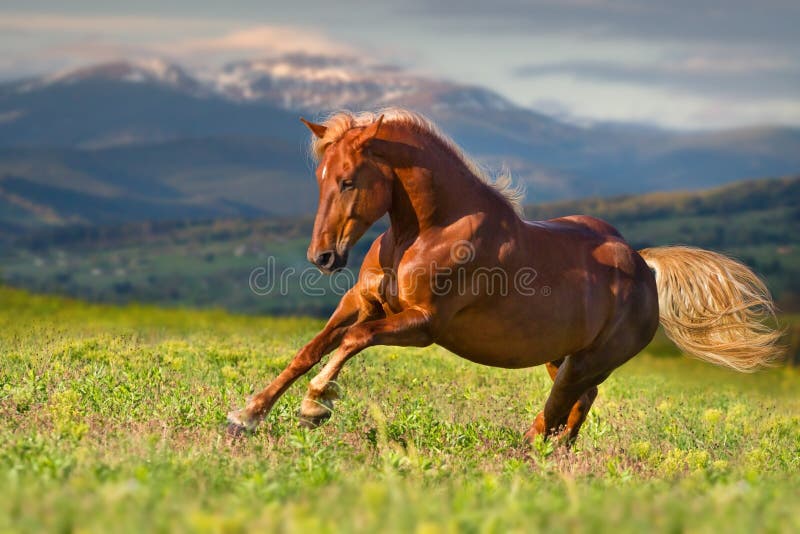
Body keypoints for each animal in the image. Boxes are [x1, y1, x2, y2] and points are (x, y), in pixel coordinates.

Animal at [227, 108, 783, 444]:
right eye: (320, 178)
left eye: (347, 181)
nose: (322, 257)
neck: (425, 232)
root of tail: (644, 267)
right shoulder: (362, 303)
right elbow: (312, 349)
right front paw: (248, 414)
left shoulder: (423, 326)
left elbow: (353, 342)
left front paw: (315, 404)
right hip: (561, 356)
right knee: (577, 403)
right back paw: (561, 456)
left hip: (590, 361)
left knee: (558, 407)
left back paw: (530, 455)